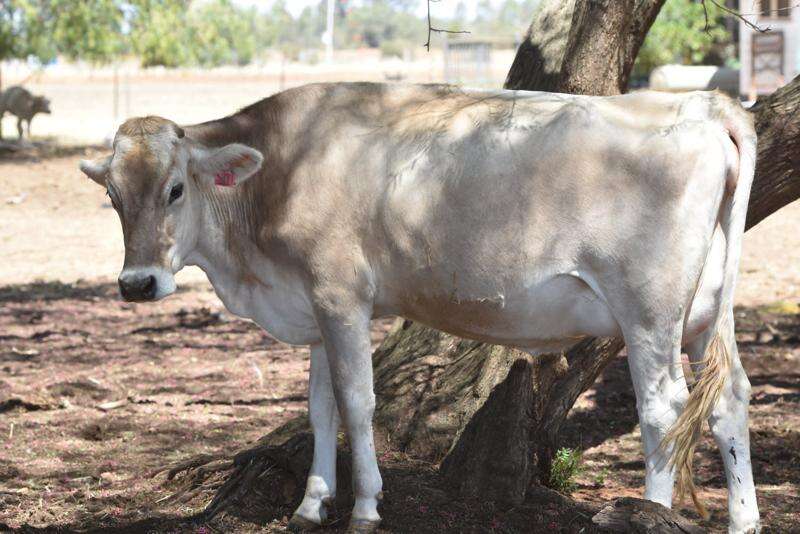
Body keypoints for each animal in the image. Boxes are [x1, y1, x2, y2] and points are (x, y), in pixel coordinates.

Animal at [79, 82, 759, 533]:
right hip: (703, 313)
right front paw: (311, 503)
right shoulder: (316, 309)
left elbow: (357, 403)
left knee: (664, 407)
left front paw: (364, 506)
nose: (137, 283)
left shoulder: (341, 295)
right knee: (728, 401)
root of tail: (703, 102)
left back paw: (650, 512)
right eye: (112, 196)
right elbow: (320, 409)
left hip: (649, 312)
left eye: (175, 189)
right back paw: (744, 520)